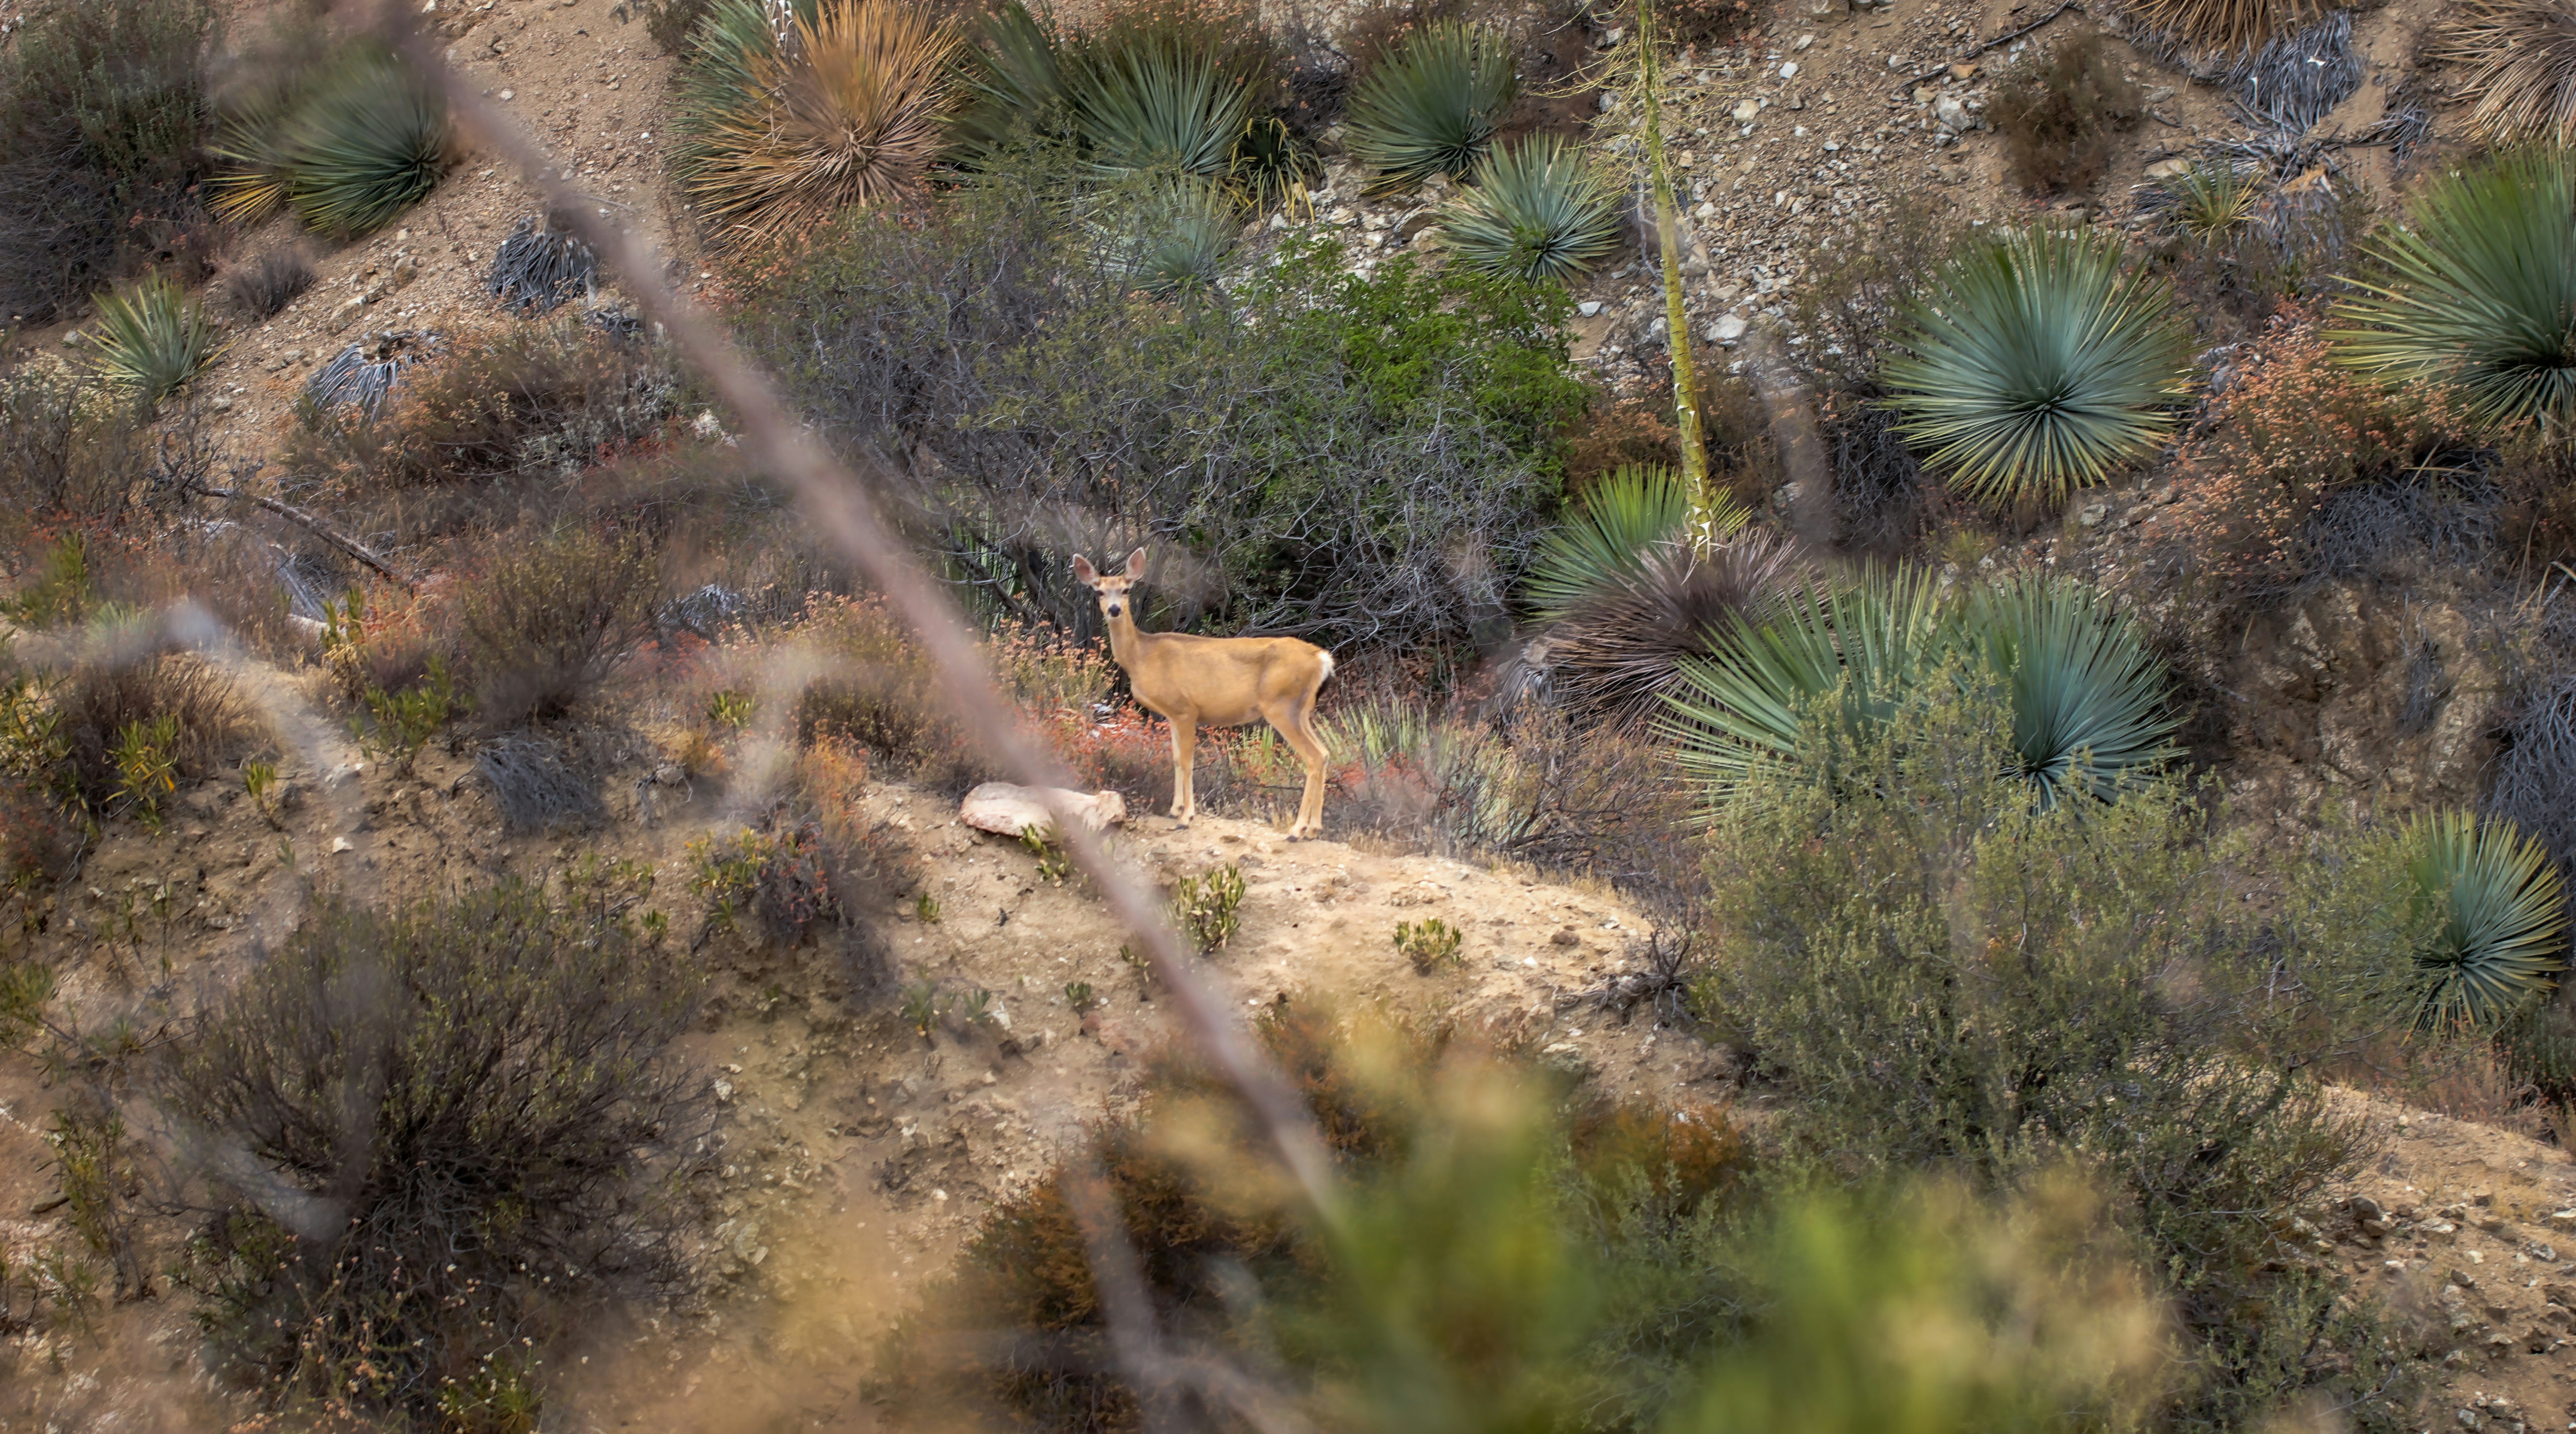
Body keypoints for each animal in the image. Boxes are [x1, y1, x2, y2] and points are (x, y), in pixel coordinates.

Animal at [1072, 549, 1336, 840]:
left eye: (1126, 589)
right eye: (1099, 591)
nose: (1115, 609)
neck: (1141, 656)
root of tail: (1322, 659)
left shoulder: (1185, 709)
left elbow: (1188, 761)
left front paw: (1186, 817)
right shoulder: (1172, 715)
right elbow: (1176, 759)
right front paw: (1174, 810)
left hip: (1281, 706)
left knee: (1313, 757)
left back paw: (1297, 830)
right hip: (1302, 710)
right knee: (1324, 753)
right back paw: (1313, 829)